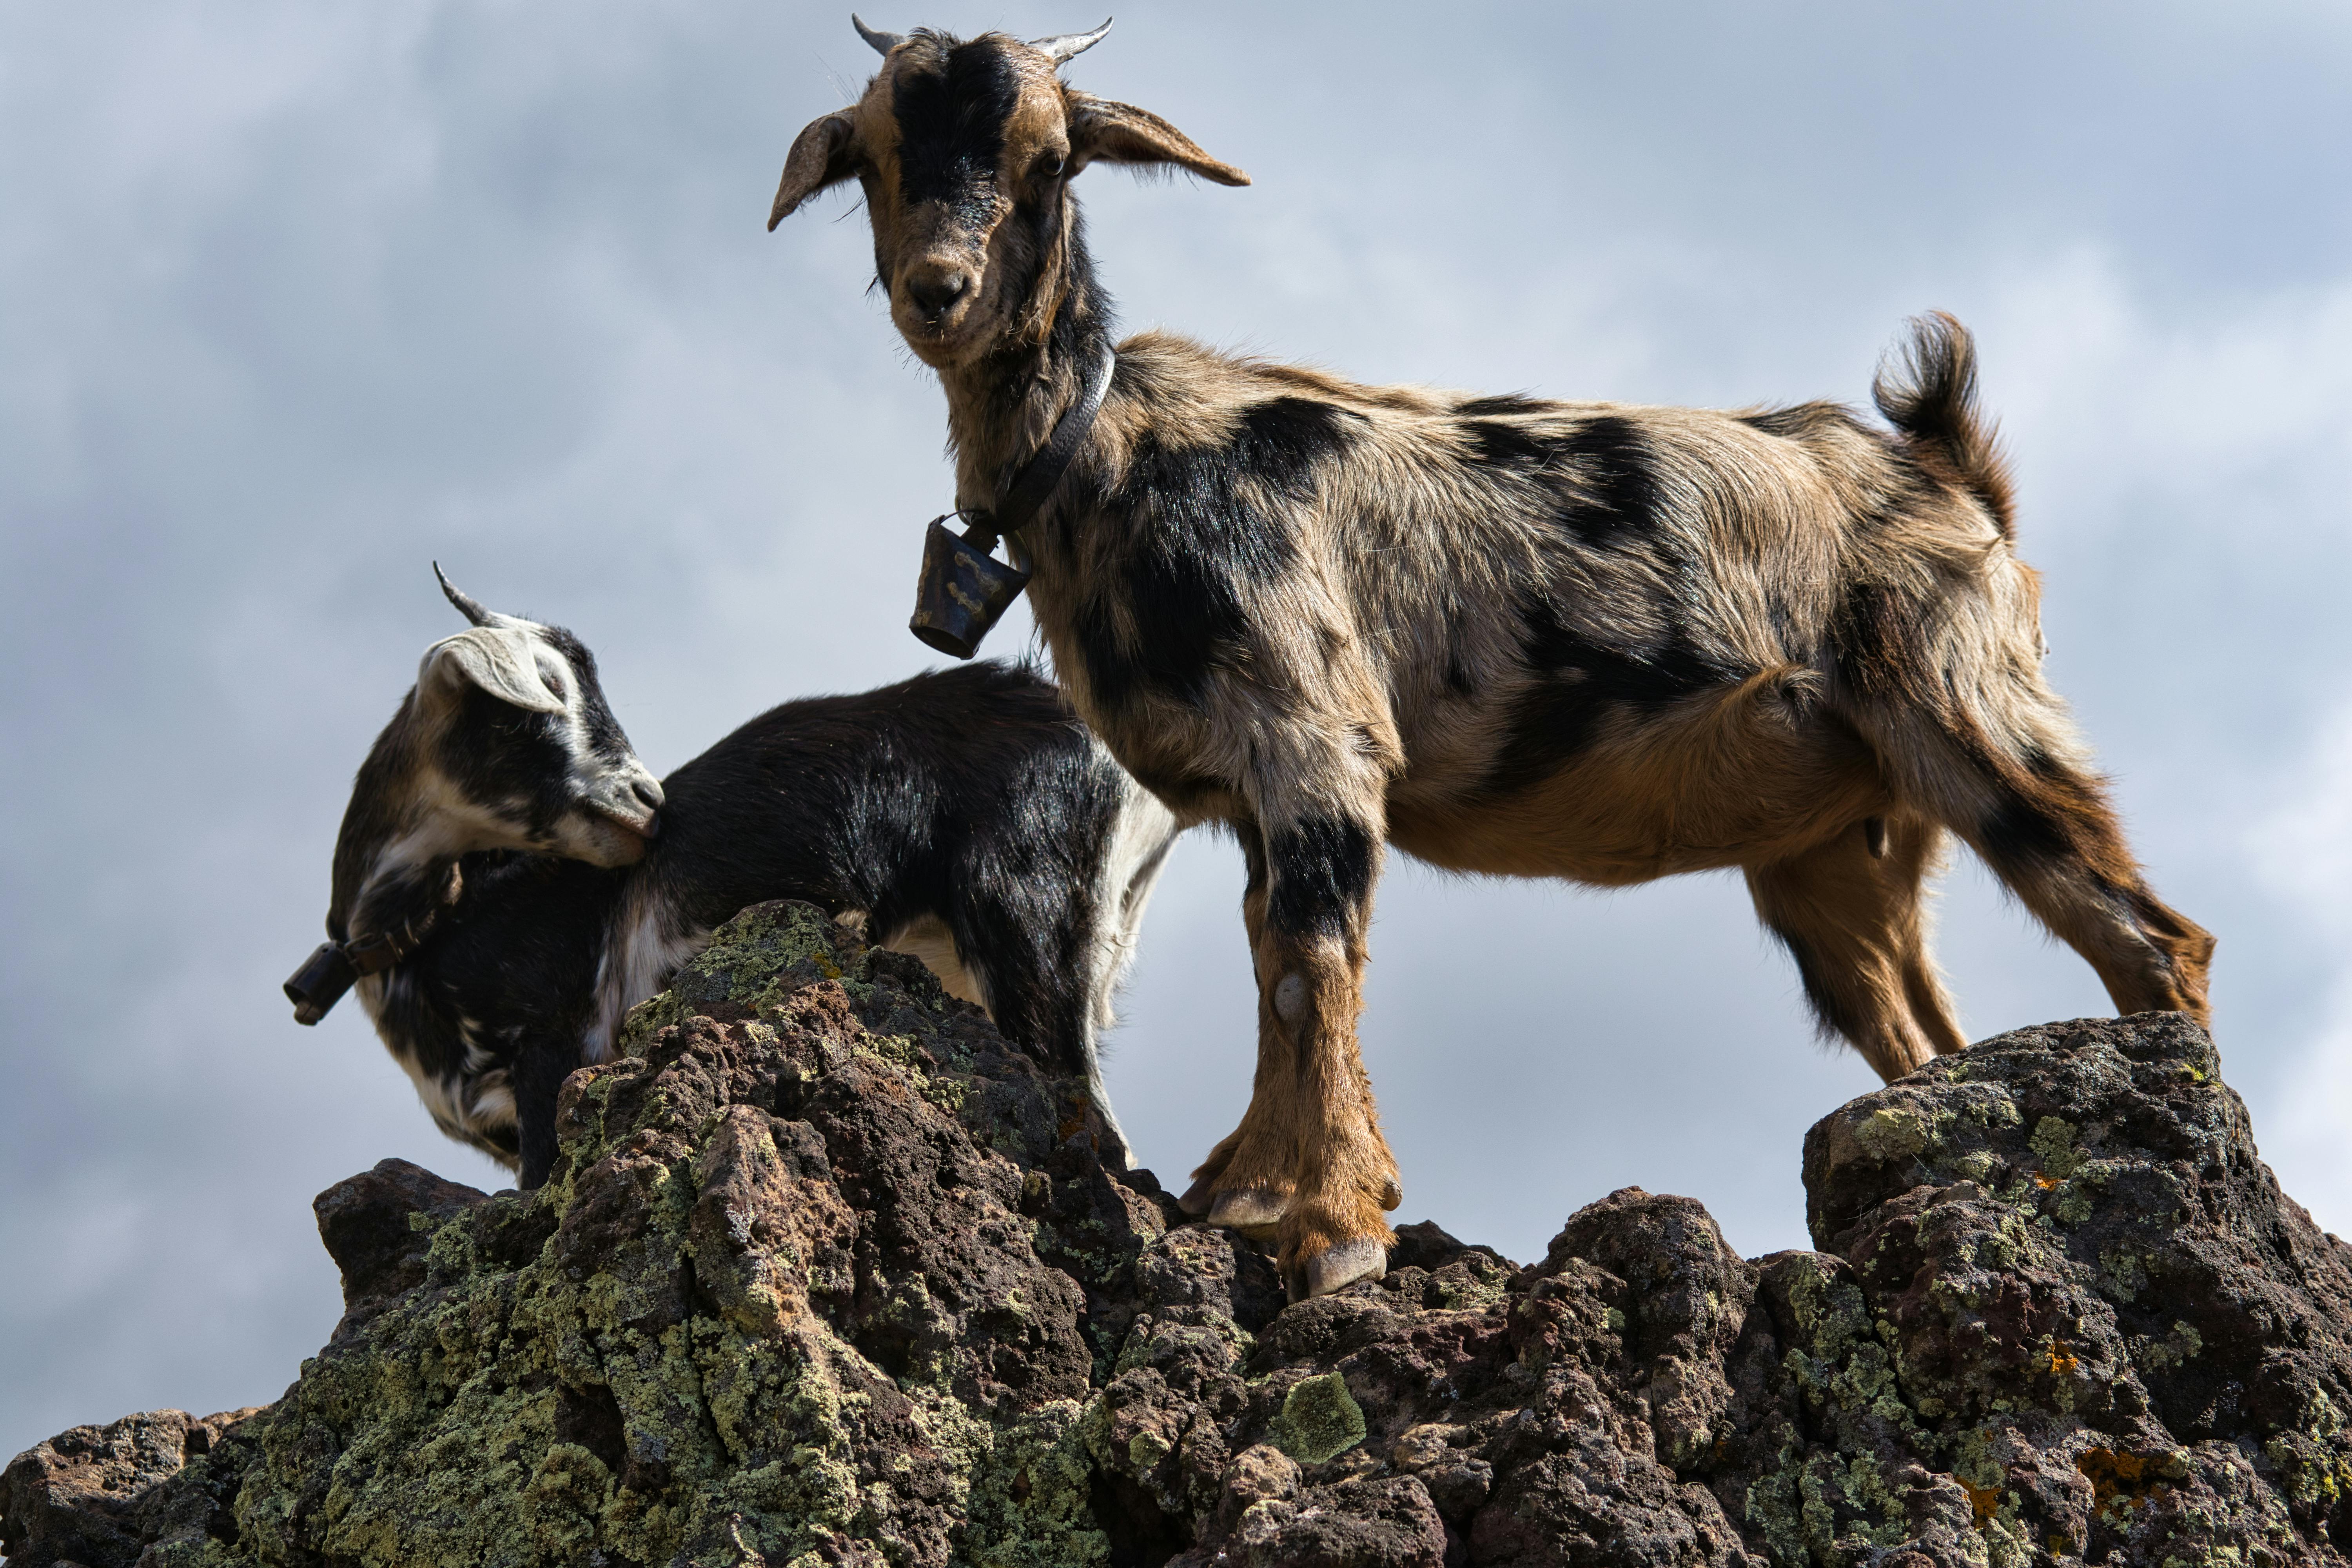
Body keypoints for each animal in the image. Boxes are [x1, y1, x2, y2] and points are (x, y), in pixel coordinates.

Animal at [765, 20, 2217, 1298]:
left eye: (1052, 156)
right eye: (873, 158)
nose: (941, 291)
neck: (1113, 454)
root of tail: (1949, 476)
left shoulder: (1319, 738)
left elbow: (1308, 967)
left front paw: (1330, 1233)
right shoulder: (1257, 792)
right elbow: (1272, 952)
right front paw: (1252, 1190)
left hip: (1972, 711)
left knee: (2158, 943)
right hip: (1839, 851)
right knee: (1923, 1035)